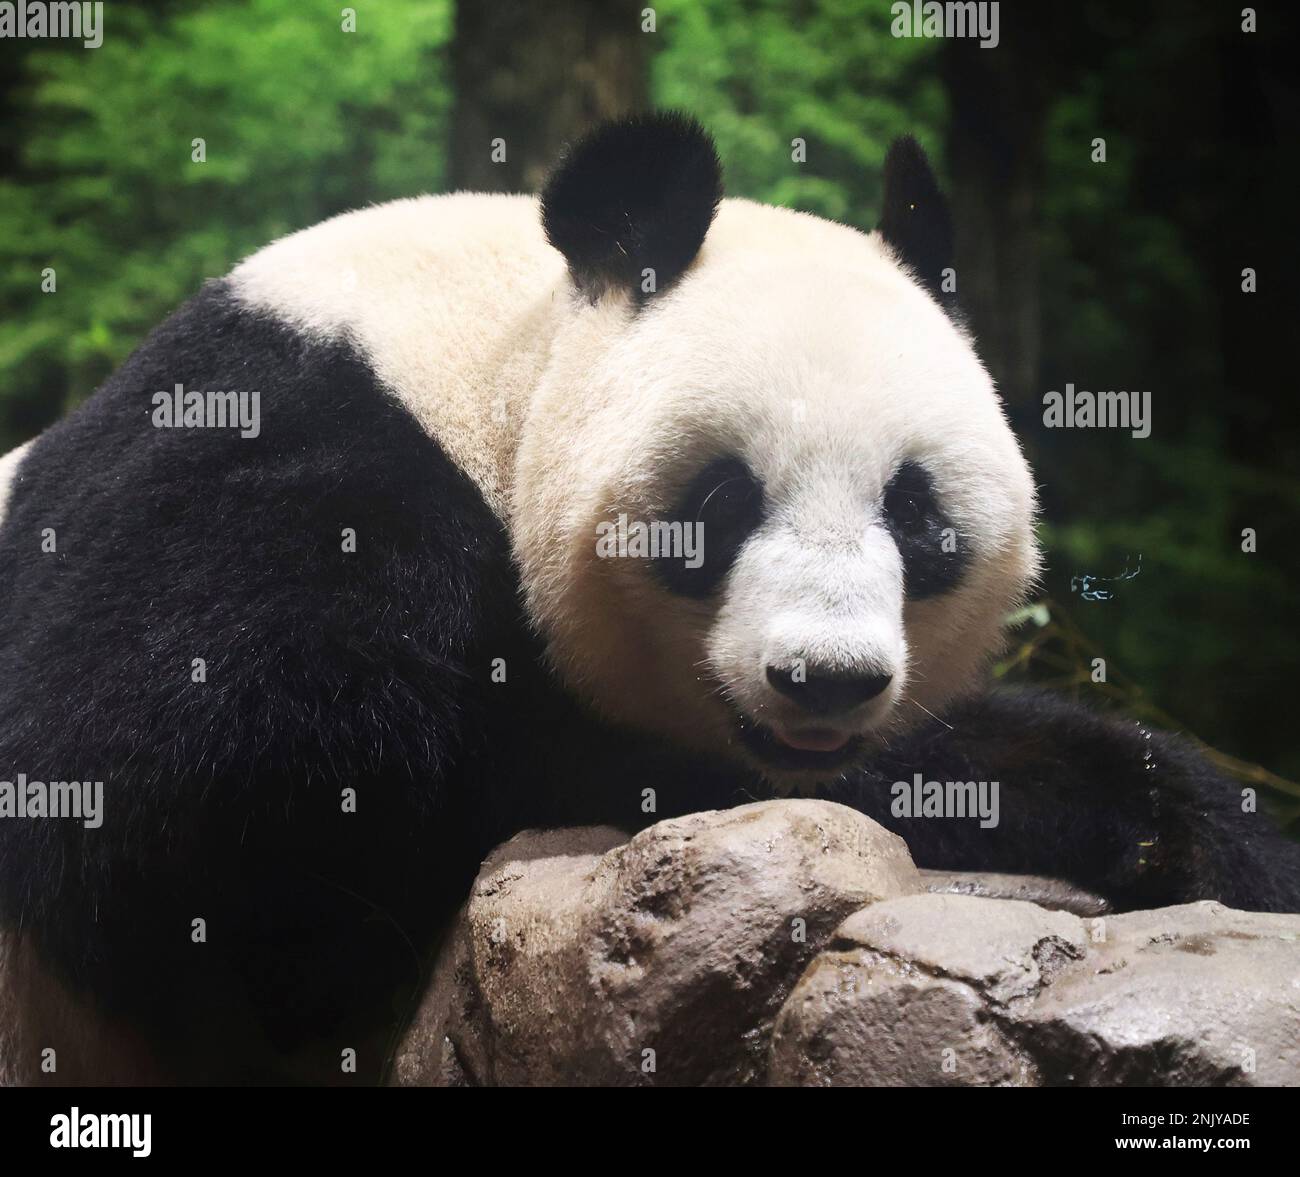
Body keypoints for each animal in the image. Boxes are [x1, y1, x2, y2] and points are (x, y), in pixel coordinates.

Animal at [0, 113, 1297, 1085]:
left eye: (916, 514)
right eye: (722, 501)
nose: (825, 680)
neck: (494, 369)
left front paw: (1186, 828)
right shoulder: (259, 462)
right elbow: (199, 821)